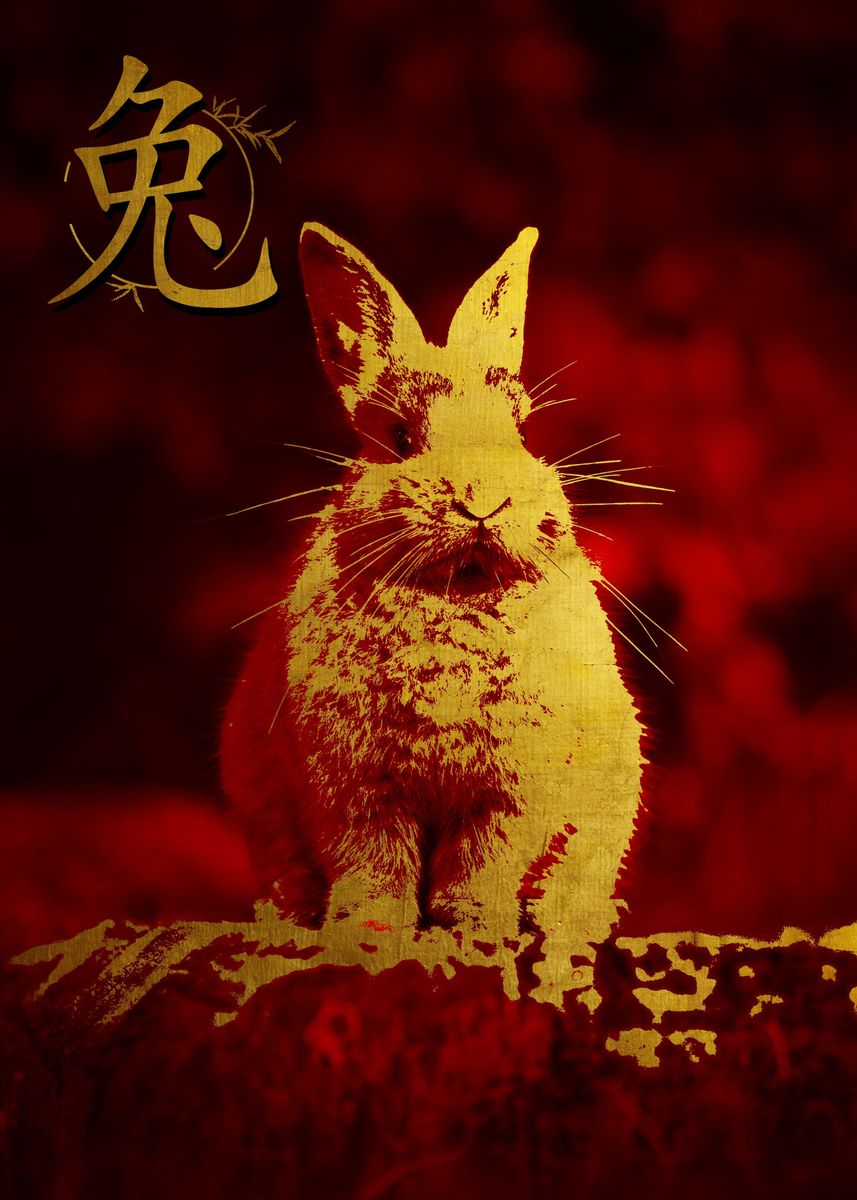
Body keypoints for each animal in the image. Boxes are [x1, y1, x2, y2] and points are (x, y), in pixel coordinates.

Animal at [220, 221, 647, 1003]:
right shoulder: (355, 790)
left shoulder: (505, 797)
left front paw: (473, 932)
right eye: (399, 439)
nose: (482, 501)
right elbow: (375, 868)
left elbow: (479, 869)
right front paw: (367, 936)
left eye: (520, 431)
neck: (455, 591)